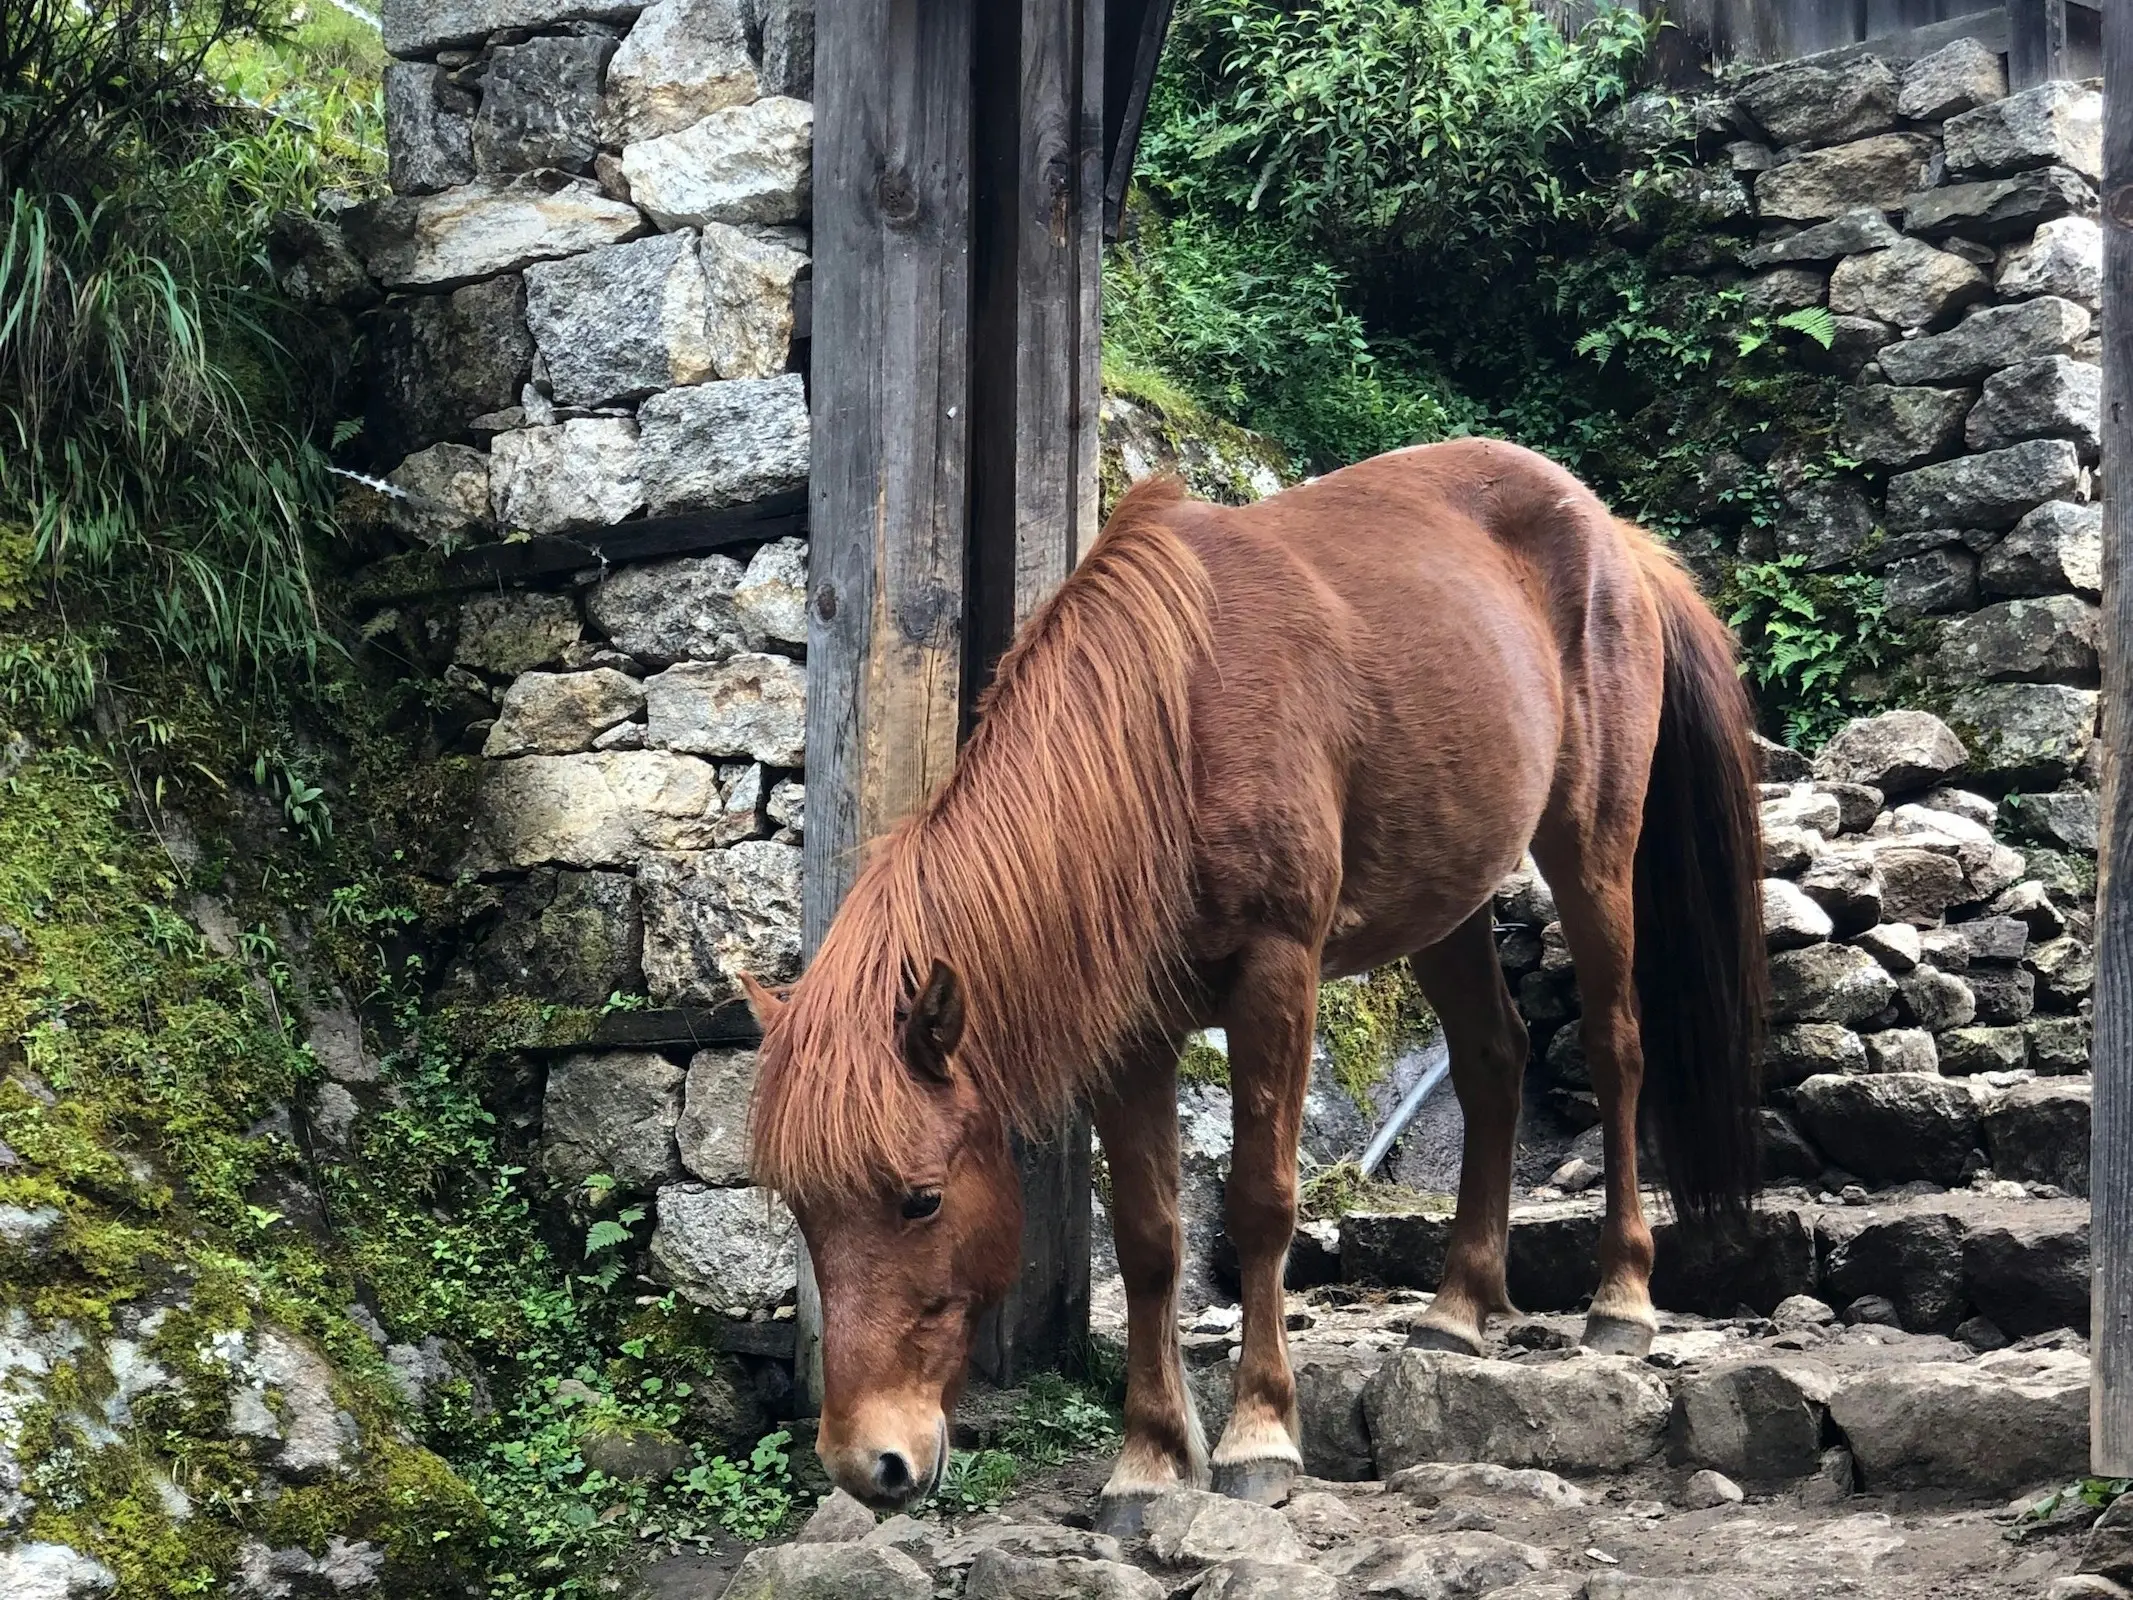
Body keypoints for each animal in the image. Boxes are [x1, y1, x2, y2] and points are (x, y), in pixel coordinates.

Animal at [743, 437, 1766, 1529]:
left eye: (921, 1200)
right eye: (802, 1208)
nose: (867, 1464)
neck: (1171, 730)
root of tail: (1614, 536)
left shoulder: (1278, 975)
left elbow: (1260, 1203)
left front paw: (1259, 1437)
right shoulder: (1132, 1030)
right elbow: (1149, 1237)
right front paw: (1149, 1459)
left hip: (1592, 848)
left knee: (1616, 1051)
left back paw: (1622, 1300)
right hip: (1445, 898)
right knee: (1495, 1060)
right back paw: (1457, 1307)